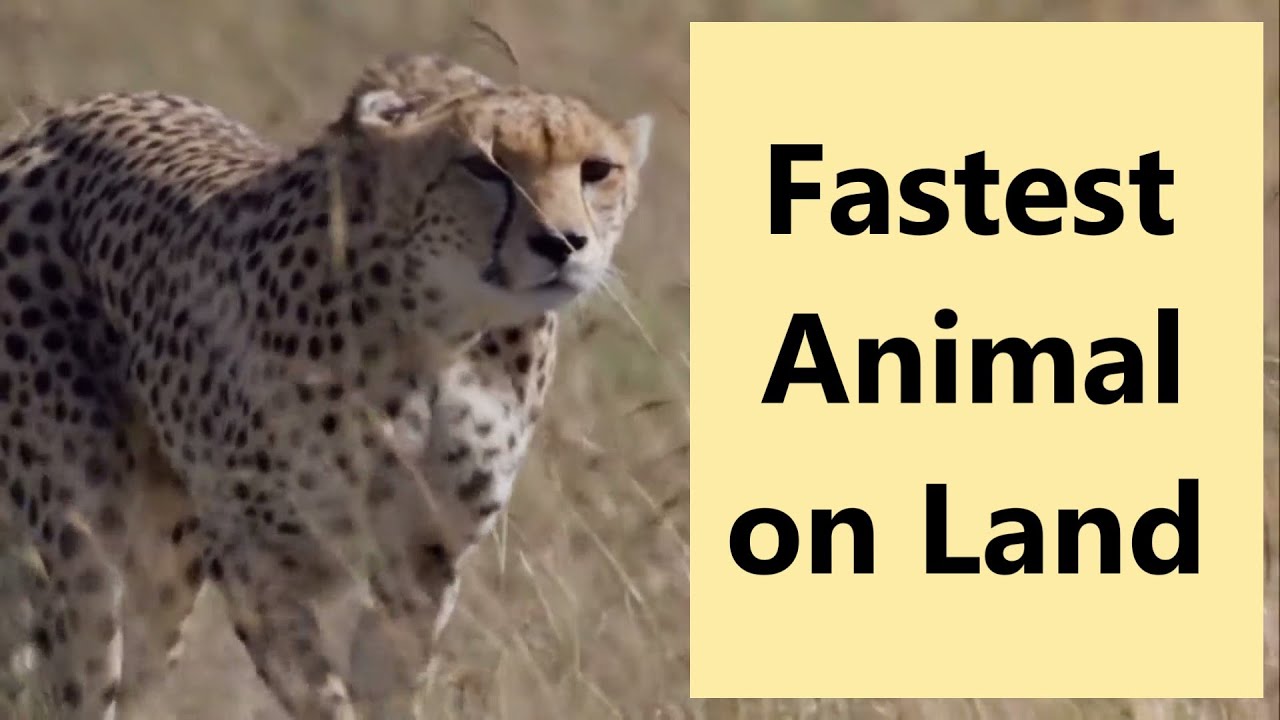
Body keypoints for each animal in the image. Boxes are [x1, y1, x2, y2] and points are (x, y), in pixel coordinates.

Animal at [0, 51, 652, 719]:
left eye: (597, 170)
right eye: (482, 167)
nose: (561, 242)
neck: (446, 334)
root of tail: (60, 119)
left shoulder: (422, 556)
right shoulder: (255, 556)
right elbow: (319, 690)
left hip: (164, 566)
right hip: (91, 545)